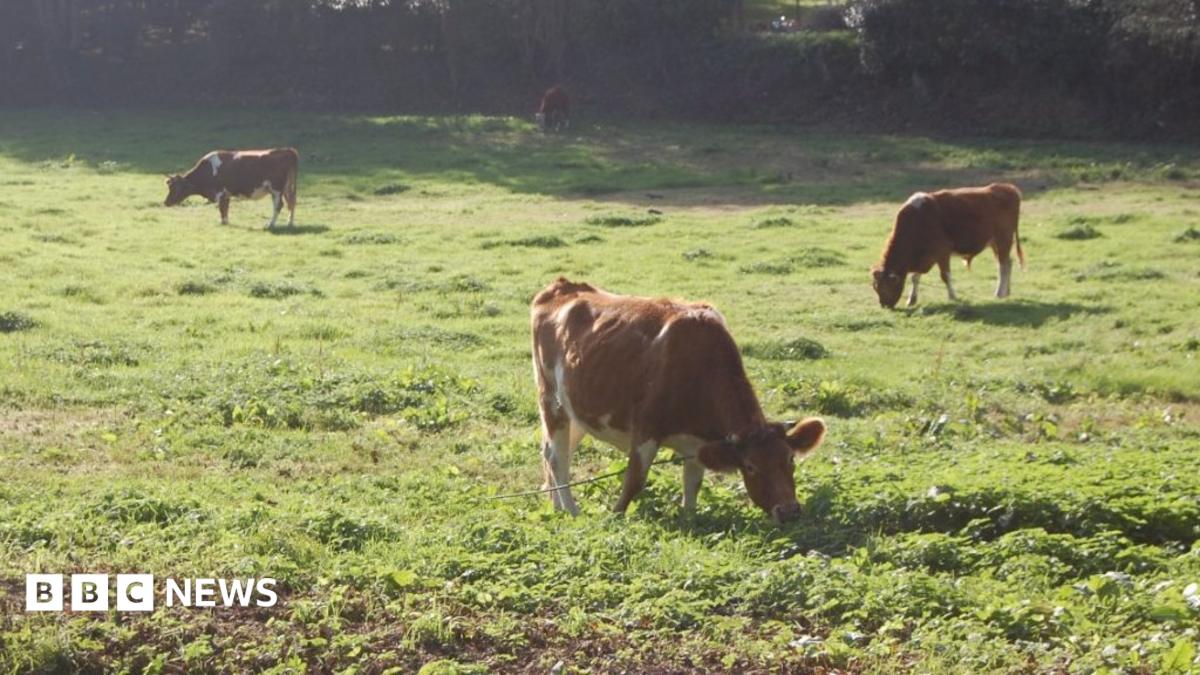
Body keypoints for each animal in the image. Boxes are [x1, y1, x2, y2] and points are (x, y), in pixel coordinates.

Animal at [164, 148, 298, 229]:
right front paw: (226, 222)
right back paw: (289, 223)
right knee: (291, 202)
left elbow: (222, 208)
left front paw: (223, 222)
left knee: (279, 205)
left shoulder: (221, 192)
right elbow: (226, 208)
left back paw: (270, 224)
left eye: (174, 188)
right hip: (286, 188)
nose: (166, 202)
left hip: (276, 189)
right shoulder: (226, 194)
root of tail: (287, 150)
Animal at [530, 278, 826, 523]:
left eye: (790, 459)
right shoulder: (646, 430)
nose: (789, 511)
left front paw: (689, 520)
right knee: (556, 457)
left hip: (578, 408)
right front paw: (615, 518)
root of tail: (562, 285)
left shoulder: (698, 443)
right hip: (551, 399)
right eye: (751, 467)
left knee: (558, 452)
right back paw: (571, 510)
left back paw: (556, 506)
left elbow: (692, 486)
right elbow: (634, 481)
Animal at [871, 182, 1024, 309]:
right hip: (995, 243)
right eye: (876, 287)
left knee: (1003, 266)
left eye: (885, 288)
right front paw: (911, 299)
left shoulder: (942, 253)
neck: (918, 221)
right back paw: (1006, 292)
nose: (884, 306)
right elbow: (915, 277)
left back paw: (999, 293)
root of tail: (1008, 188)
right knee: (1007, 263)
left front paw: (953, 296)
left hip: (1003, 239)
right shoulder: (923, 257)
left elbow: (945, 276)